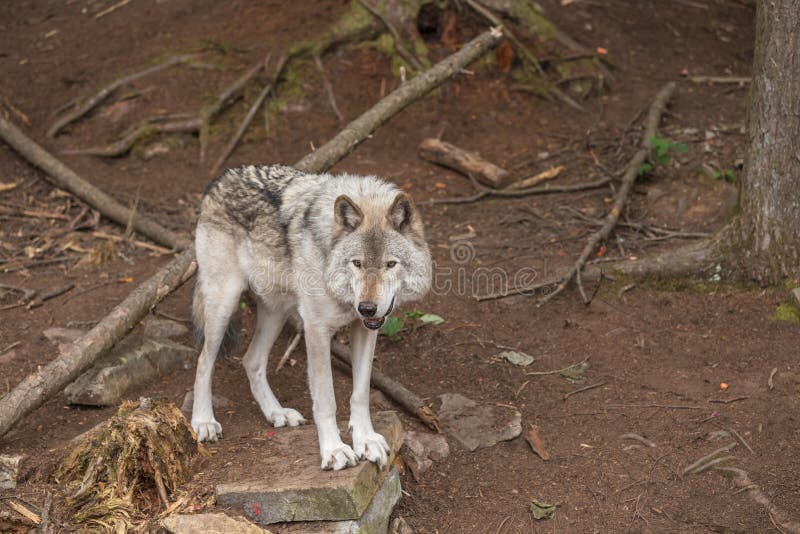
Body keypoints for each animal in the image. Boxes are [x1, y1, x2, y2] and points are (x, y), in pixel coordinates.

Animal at [191, 164, 432, 470]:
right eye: (357, 263)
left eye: (391, 264)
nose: (366, 308)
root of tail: (221, 178)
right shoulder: (316, 329)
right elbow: (326, 399)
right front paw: (334, 450)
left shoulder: (365, 329)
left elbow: (360, 393)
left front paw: (365, 440)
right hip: (224, 304)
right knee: (203, 361)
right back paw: (203, 422)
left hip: (276, 312)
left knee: (251, 360)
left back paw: (277, 413)